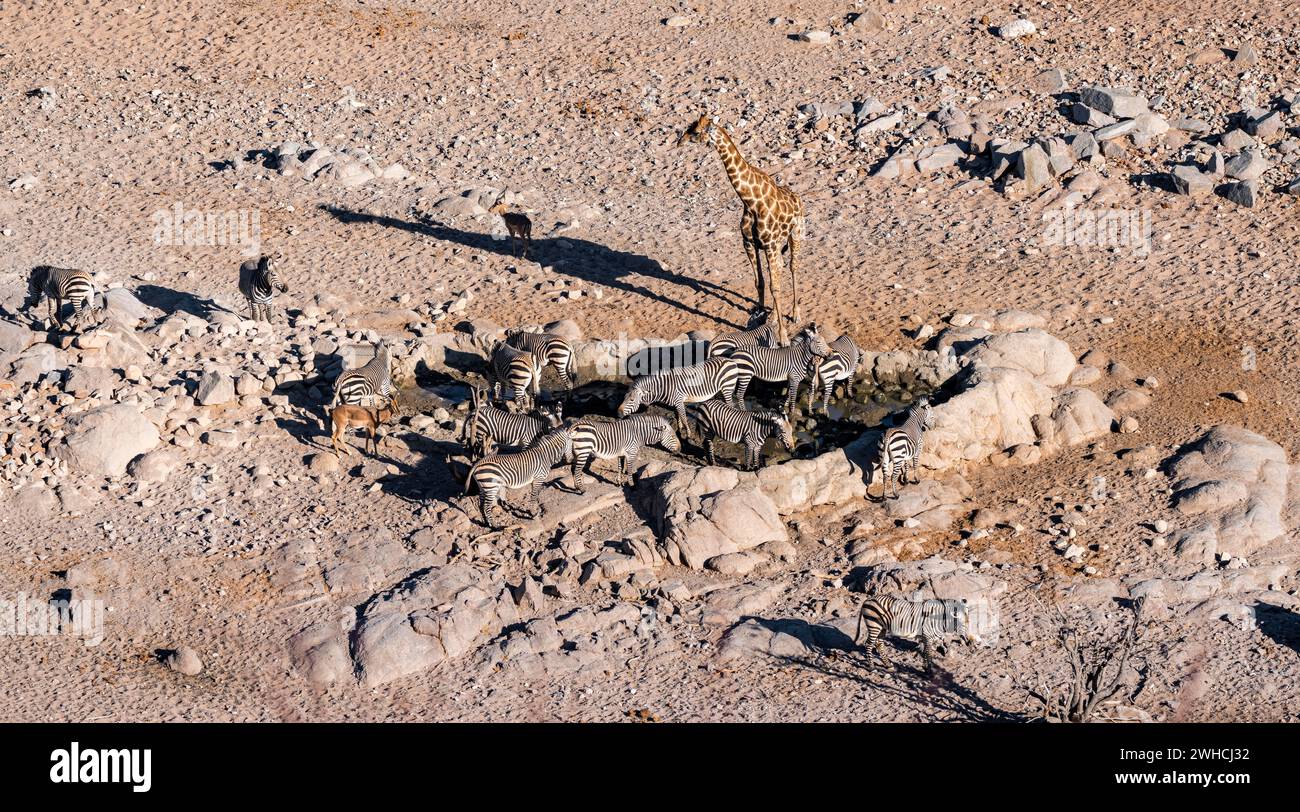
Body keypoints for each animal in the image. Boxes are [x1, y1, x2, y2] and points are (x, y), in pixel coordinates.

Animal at [677, 114, 804, 345]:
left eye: (696, 132)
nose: (679, 142)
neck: (750, 200)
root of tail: (797, 197)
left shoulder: (769, 245)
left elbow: (774, 287)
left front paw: (783, 337)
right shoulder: (749, 243)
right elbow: (760, 282)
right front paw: (761, 320)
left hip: (795, 235)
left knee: (793, 267)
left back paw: (795, 313)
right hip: (776, 246)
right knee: (780, 269)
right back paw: (774, 316)